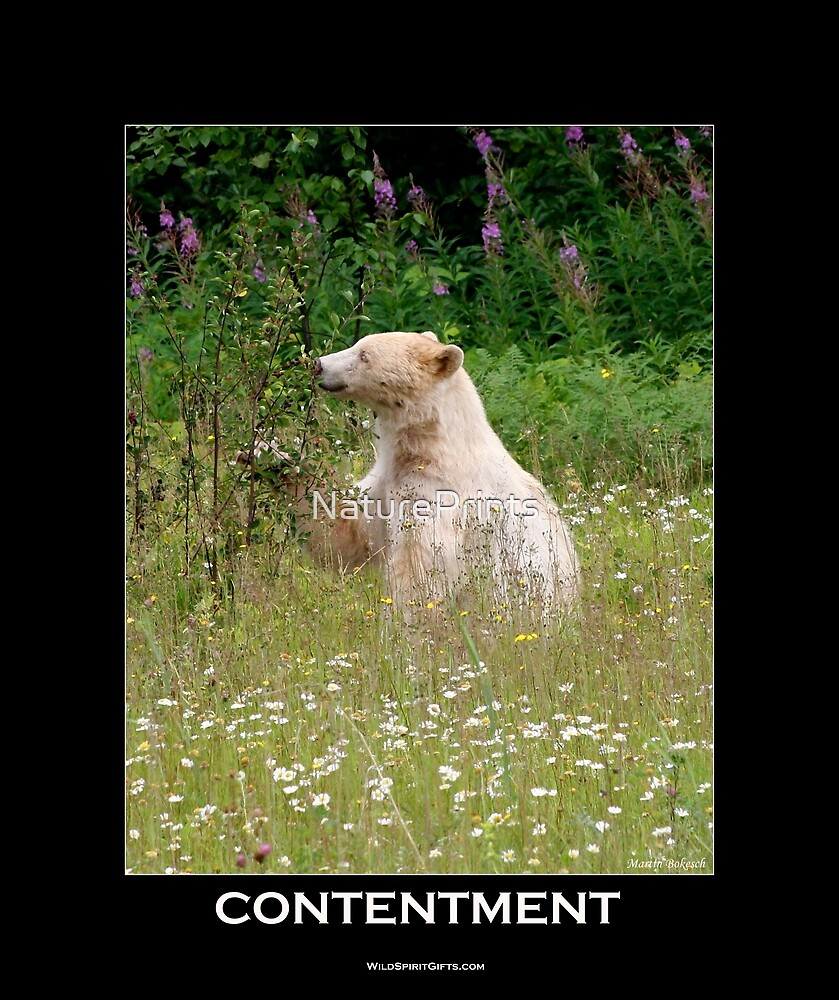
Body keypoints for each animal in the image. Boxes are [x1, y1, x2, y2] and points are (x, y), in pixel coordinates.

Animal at [310, 331, 581, 614]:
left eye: (364, 355)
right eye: (357, 343)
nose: (318, 364)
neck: (433, 446)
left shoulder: (440, 492)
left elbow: (423, 564)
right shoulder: (386, 482)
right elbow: (344, 527)